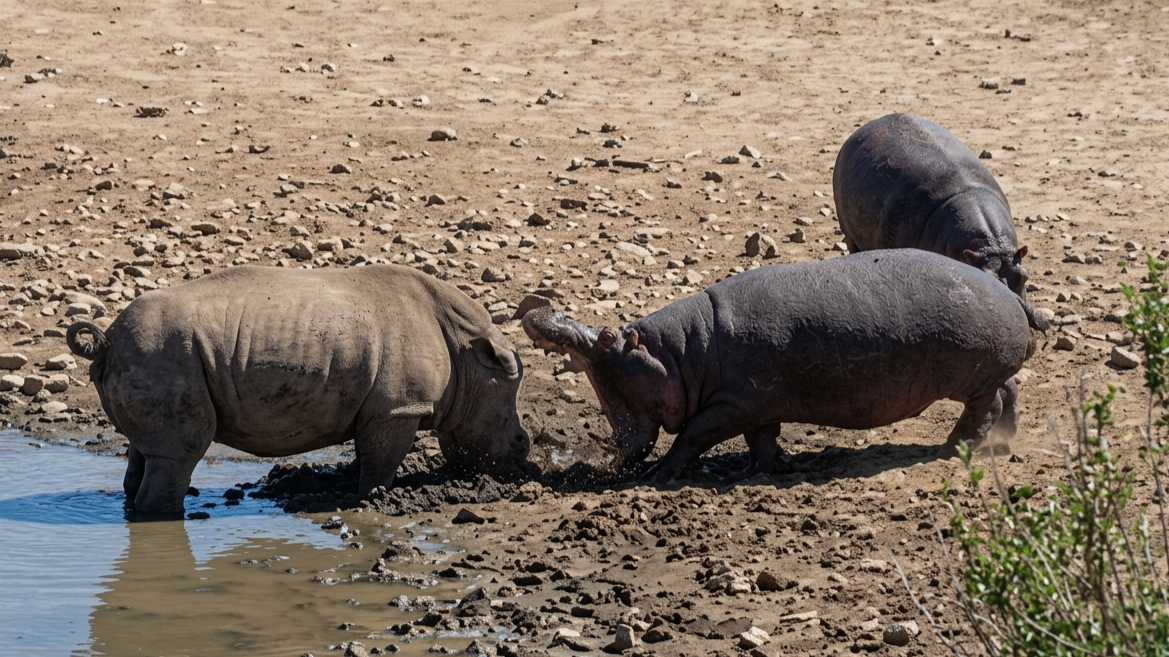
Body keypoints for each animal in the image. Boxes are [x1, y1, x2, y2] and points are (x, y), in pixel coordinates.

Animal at [67, 265, 529, 518]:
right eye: (516, 436)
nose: (519, 465)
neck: (470, 356)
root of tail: (106, 342)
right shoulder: (399, 407)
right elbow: (381, 463)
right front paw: (375, 498)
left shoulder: (387, 408)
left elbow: (370, 454)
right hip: (164, 353)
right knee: (182, 451)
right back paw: (165, 521)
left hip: (150, 356)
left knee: (146, 450)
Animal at [523, 250, 1029, 482]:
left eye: (608, 336)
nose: (543, 311)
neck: (679, 354)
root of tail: (1011, 295)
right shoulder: (758, 406)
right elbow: (762, 440)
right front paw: (762, 469)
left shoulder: (732, 405)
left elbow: (693, 435)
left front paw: (660, 474)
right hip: (990, 375)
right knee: (1008, 394)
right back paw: (1004, 441)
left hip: (976, 378)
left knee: (983, 410)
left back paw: (951, 448)